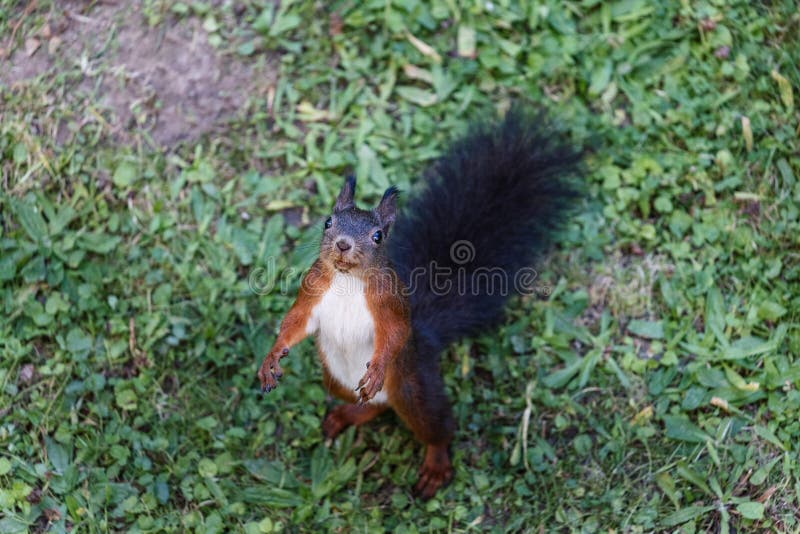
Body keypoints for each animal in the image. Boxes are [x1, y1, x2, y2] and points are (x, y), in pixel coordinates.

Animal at [257, 107, 581, 499]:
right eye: (328, 221)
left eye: (378, 236)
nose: (343, 244)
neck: (348, 280)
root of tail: (427, 340)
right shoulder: (313, 291)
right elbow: (296, 322)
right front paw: (271, 358)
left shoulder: (389, 302)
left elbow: (394, 332)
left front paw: (378, 367)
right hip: (336, 382)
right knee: (372, 406)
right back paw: (347, 415)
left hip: (414, 389)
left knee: (436, 426)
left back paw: (436, 466)